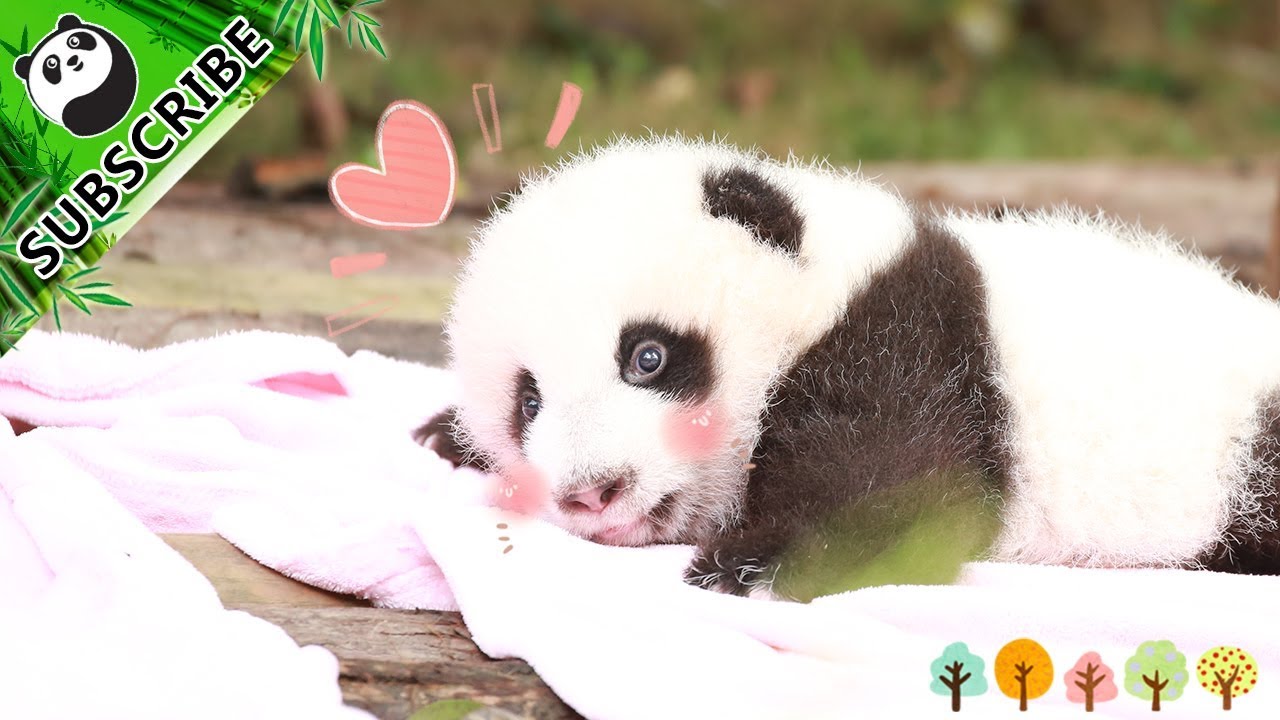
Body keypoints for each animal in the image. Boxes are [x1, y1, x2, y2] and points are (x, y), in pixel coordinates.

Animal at [417, 135, 1280, 598]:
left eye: (647, 356)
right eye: (528, 403)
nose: (591, 491)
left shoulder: (909, 338)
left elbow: (911, 488)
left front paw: (758, 561)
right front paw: (447, 437)